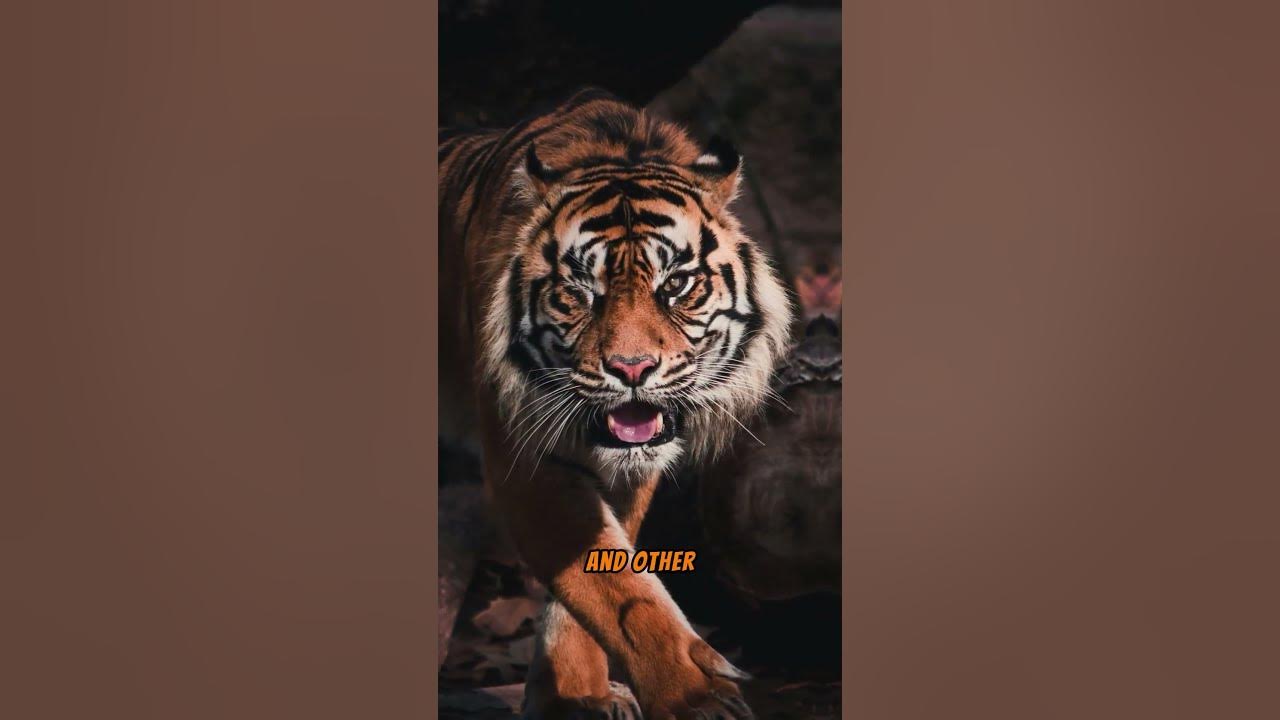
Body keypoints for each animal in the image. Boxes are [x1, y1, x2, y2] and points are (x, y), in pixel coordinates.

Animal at [438, 89, 792, 719]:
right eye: (581, 291)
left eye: (675, 285)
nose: (631, 369)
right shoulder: (525, 460)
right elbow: (612, 588)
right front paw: (696, 694)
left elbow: (602, 575)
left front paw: (578, 694)